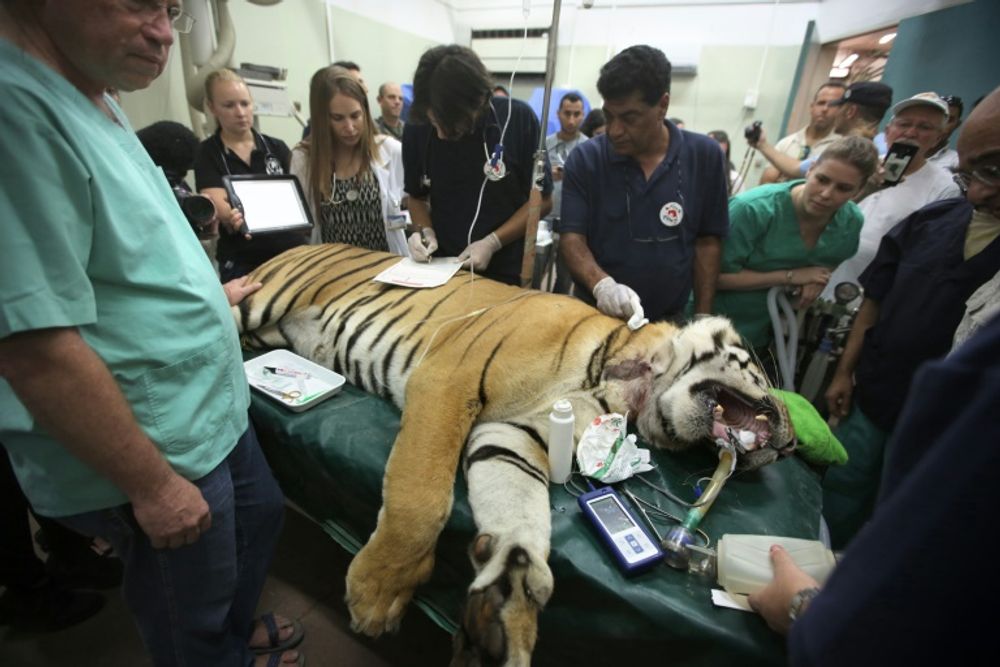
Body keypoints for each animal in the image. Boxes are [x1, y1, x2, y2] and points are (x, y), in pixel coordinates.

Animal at [235, 243, 794, 667]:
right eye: (764, 375)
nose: (789, 446)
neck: (623, 375)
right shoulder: (448, 377)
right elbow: (422, 495)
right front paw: (378, 590)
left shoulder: (516, 434)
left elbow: (521, 514)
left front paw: (510, 605)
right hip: (257, 301)